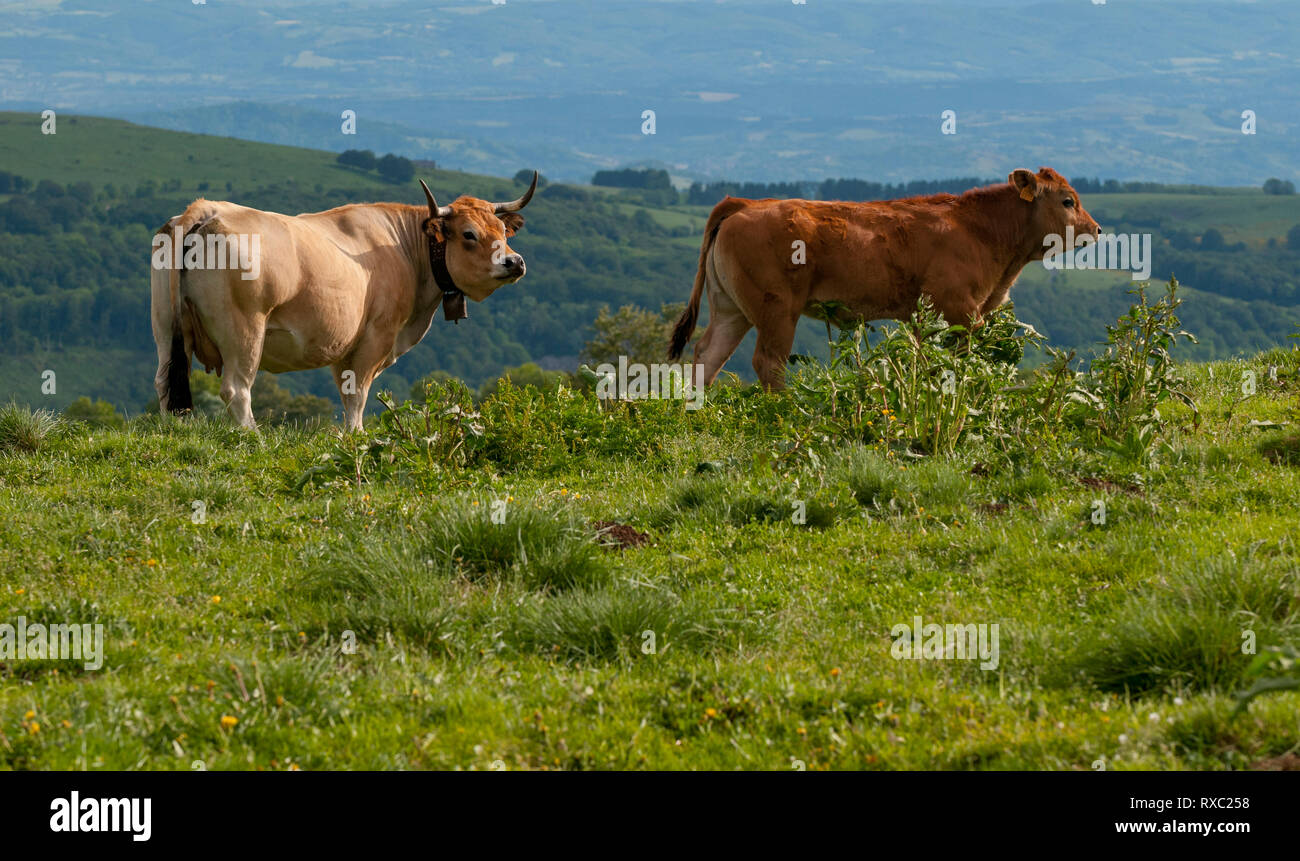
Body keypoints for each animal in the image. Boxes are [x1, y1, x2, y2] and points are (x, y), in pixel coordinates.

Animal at [150, 173, 537, 429]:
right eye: (469, 234)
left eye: (503, 232)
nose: (515, 262)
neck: (403, 248)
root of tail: (205, 210)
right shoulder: (374, 338)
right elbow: (357, 396)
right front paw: (358, 438)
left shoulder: (343, 347)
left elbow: (346, 390)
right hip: (244, 332)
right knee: (237, 389)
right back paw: (254, 438)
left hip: (166, 328)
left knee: (166, 382)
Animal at [667, 167, 1100, 390]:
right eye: (1068, 200)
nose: (1096, 229)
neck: (981, 230)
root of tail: (745, 203)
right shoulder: (959, 309)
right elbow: (958, 361)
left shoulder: (927, 315)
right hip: (777, 309)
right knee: (768, 362)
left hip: (731, 309)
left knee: (707, 356)